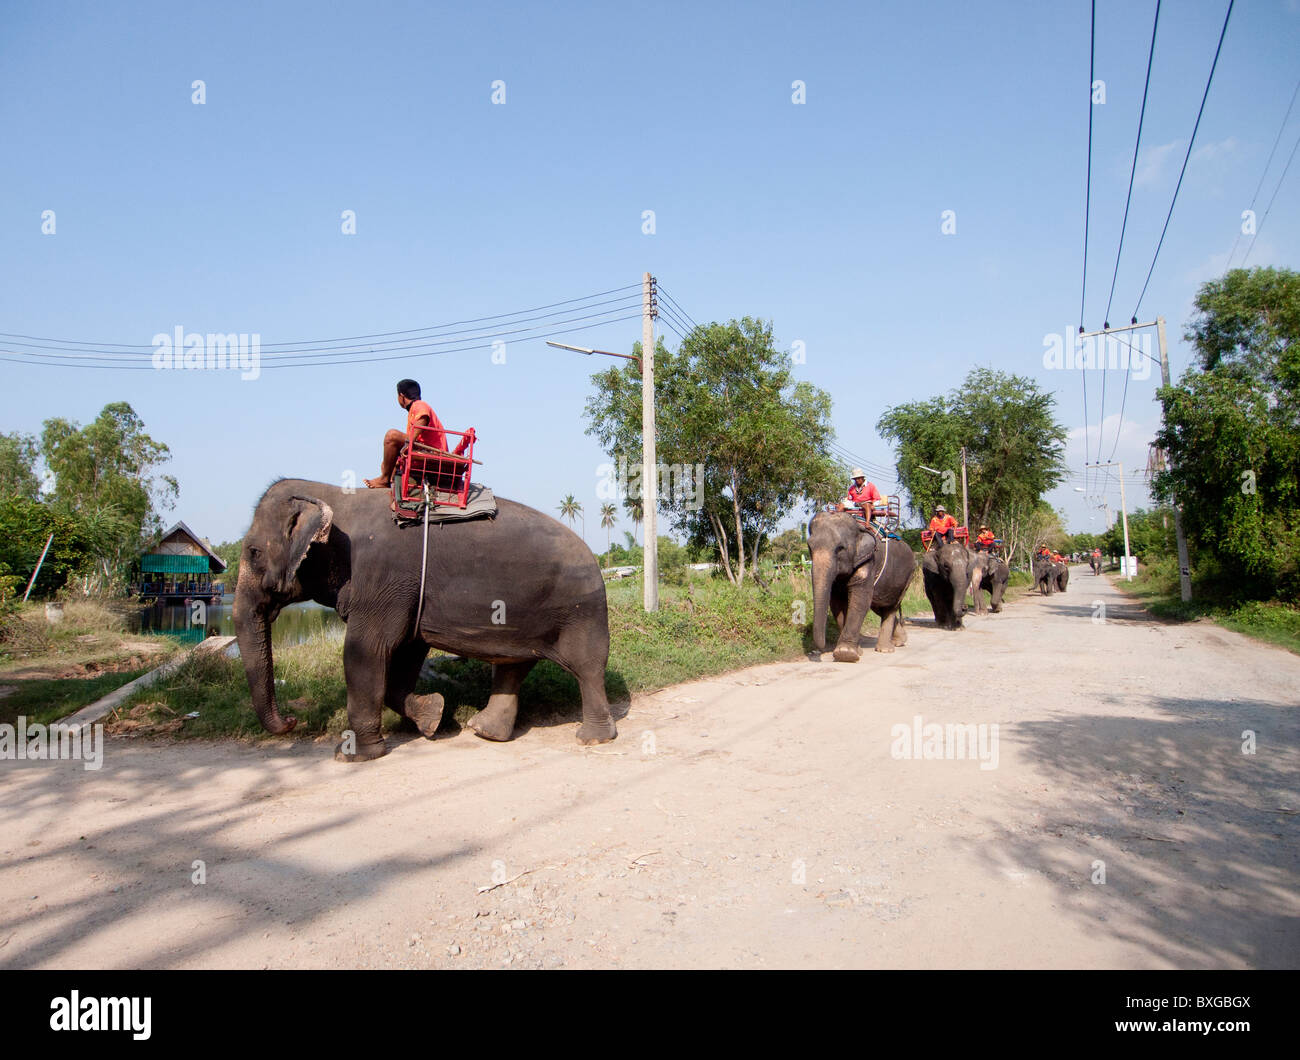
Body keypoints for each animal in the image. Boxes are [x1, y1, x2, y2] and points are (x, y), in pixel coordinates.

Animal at [233, 479, 616, 762]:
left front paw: (352, 755)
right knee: (512, 666)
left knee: (587, 668)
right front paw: (434, 715)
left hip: (582, 611)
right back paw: (485, 731)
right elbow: (404, 653)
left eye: (253, 552)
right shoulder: (405, 594)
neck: (333, 495)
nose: (291, 720)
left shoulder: (381, 580)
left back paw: (593, 739)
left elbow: (365, 651)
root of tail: (595, 557)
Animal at [808, 512, 917, 662]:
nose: (821, 650)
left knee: (891, 606)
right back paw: (899, 641)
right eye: (809, 548)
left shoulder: (868, 561)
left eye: (840, 548)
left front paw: (845, 653)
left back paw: (885, 649)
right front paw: (856, 651)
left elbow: (860, 600)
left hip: (907, 577)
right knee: (879, 606)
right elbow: (837, 603)